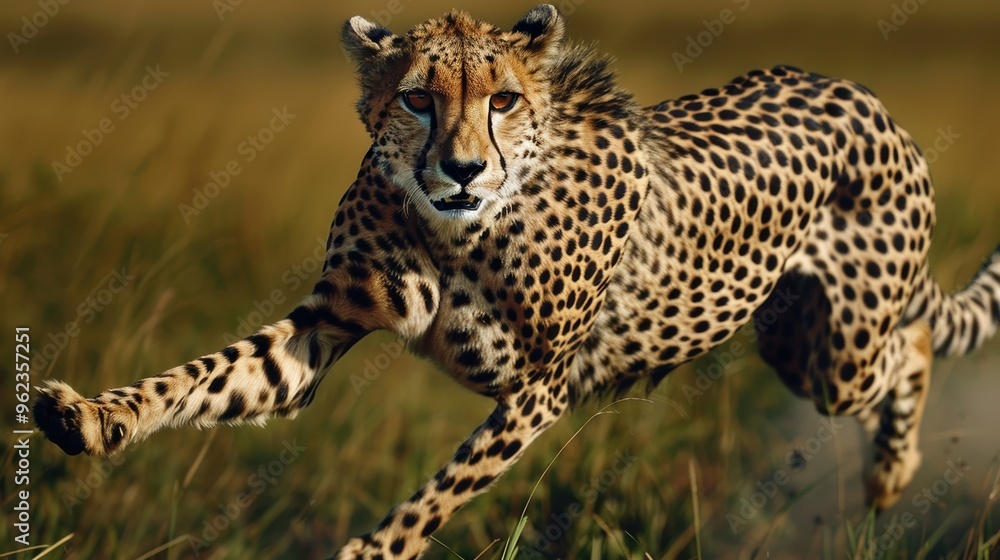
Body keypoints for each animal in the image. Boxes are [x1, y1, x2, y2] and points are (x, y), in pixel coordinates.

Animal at [33, 5, 1000, 559]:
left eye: (500, 99)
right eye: (417, 98)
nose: (461, 169)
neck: (453, 231)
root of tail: (856, 90)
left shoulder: (541, 389)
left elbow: (435, 498)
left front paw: (371, 554)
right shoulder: (327, 323)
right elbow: (202, 377)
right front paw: (94, 416)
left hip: (838, 350)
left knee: (912, 344)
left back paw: (892, 473)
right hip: (793, 341)